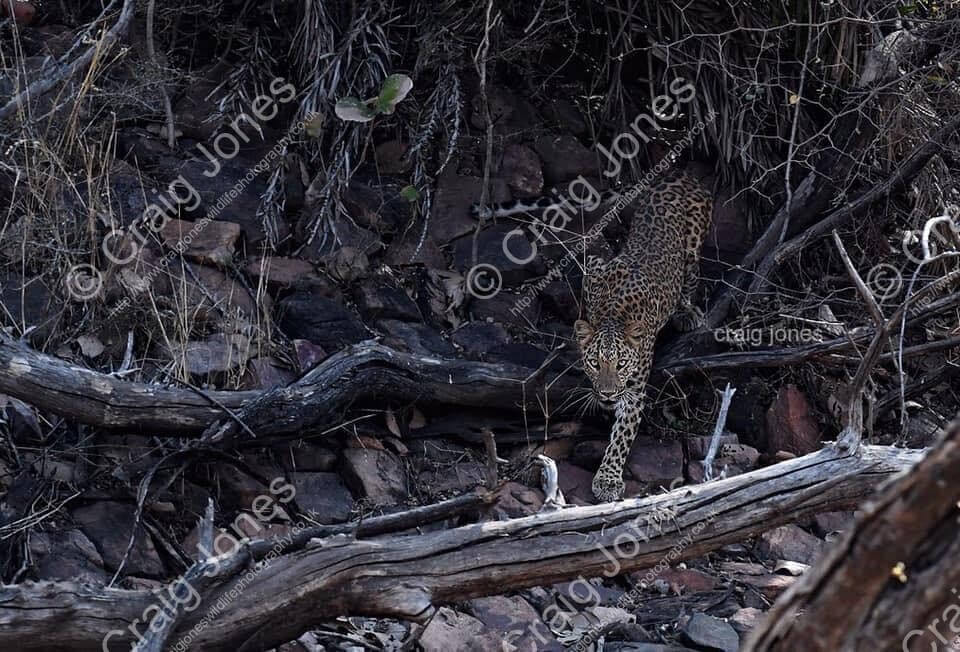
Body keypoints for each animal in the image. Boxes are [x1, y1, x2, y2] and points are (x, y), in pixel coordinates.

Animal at [472, 170, 713, 502]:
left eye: (622, 365)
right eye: (595, 364)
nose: (608, 394)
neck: (612, 315)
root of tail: (676, 175)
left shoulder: (634, 389)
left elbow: (622, 434)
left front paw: (608, 480)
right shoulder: (594, 271)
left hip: (692, 245)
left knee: (691, 278)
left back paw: (687, 312)